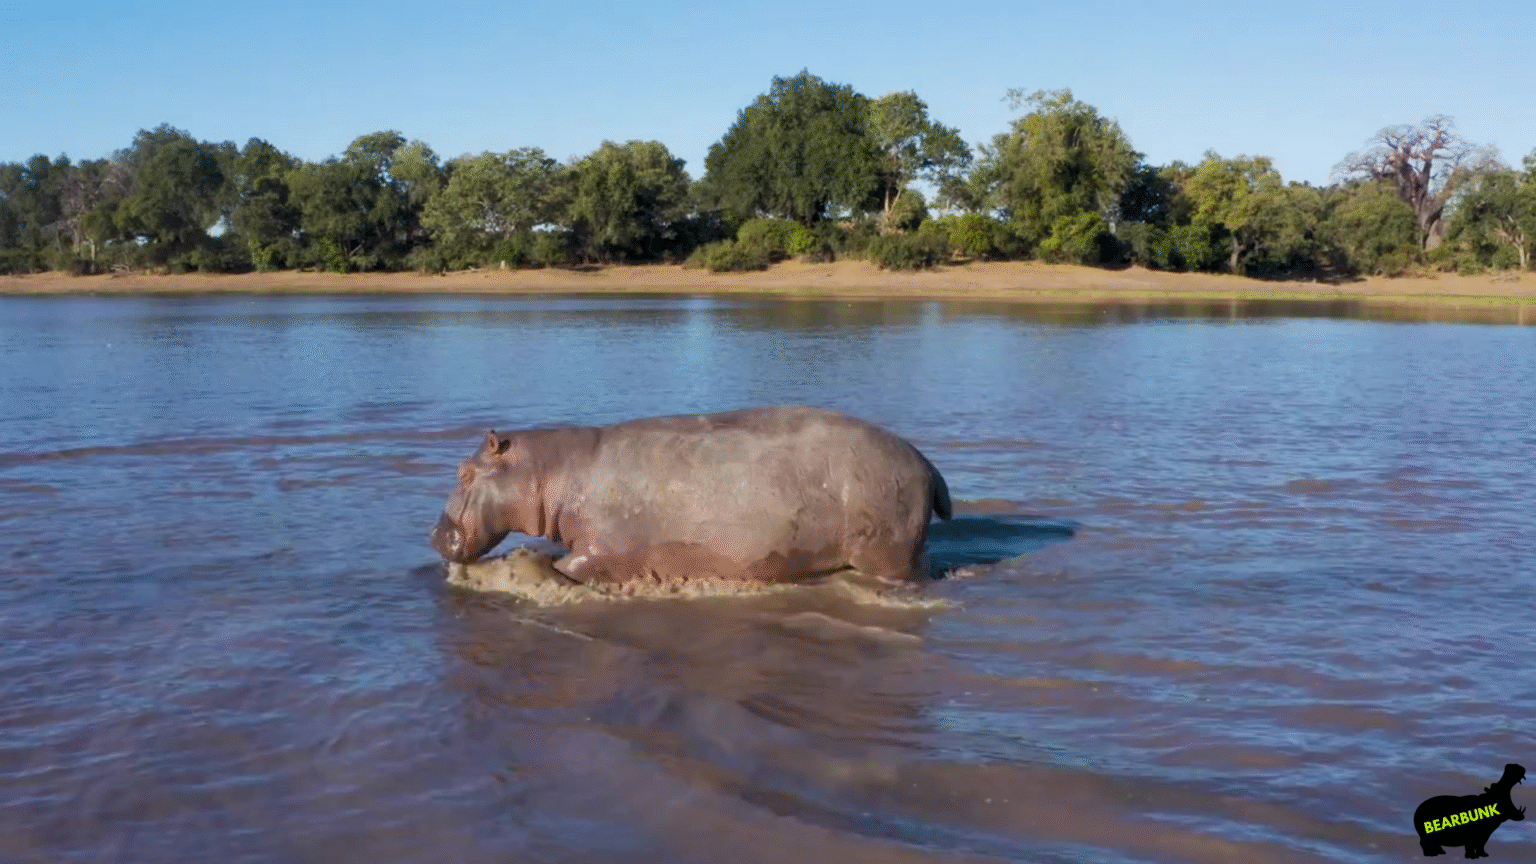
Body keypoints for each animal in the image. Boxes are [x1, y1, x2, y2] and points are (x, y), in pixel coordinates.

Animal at [429, 405, 952, 587]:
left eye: (463, 471)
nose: (434, 536)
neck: (550, 471)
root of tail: (926, 462)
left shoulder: (604, 549)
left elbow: (568, 566)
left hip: (887, 552)